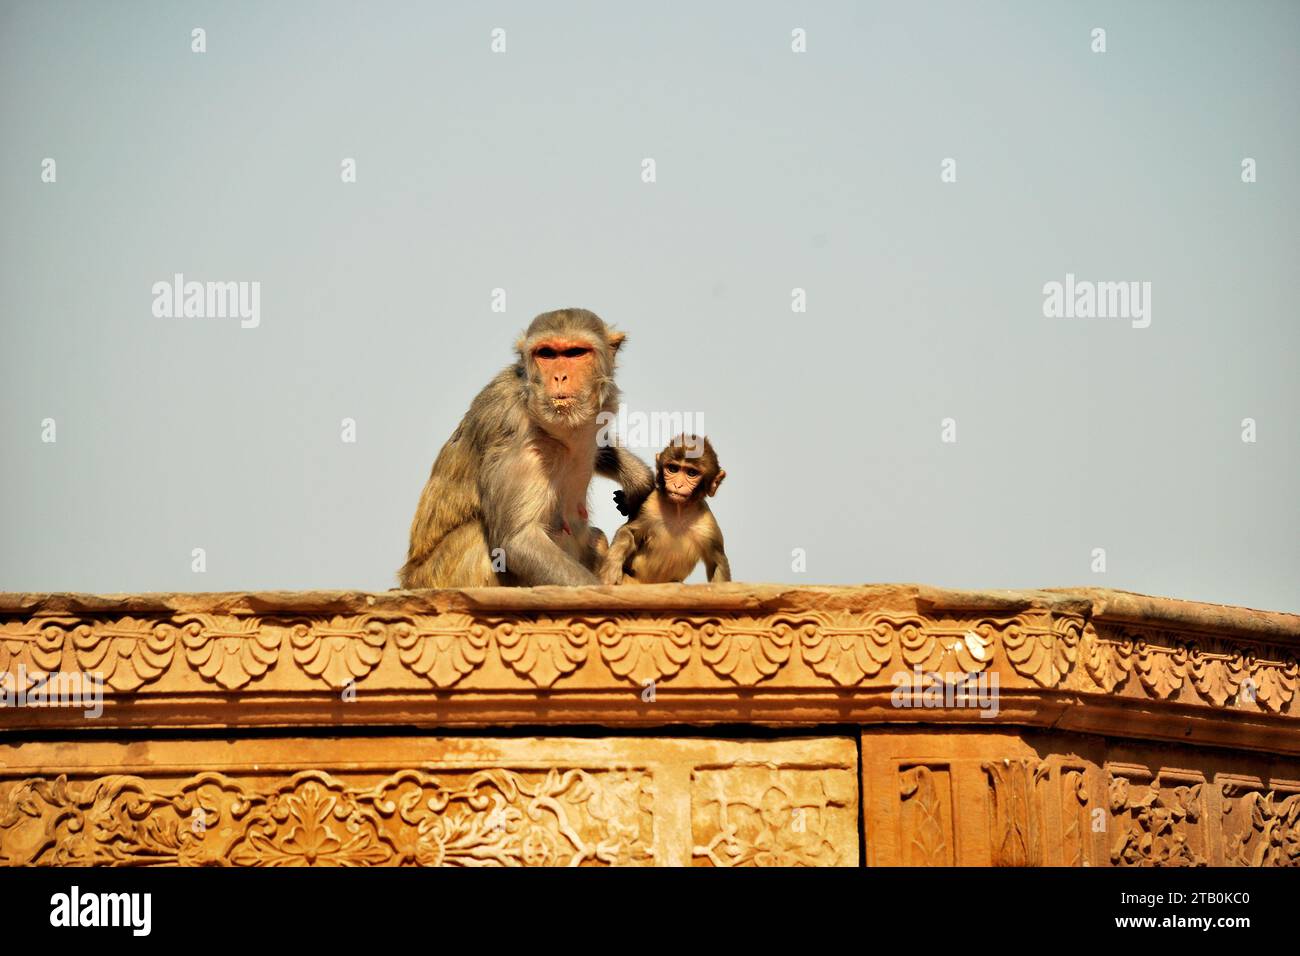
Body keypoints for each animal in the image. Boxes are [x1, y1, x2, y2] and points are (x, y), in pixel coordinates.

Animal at [399, 308, 655, 588]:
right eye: (547, 354)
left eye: (575, 352)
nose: (559, 377)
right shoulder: (516, 437)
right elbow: (518, 541)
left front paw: (637, 476)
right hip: (438, 575)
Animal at [601, 434, 731, 585]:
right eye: (673, 469)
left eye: (692, 473)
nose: (677, 485)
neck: (678, 512)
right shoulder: (649, 507)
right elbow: (629, 532)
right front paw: (612, 564)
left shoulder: (708, 525)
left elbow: (717, 562)